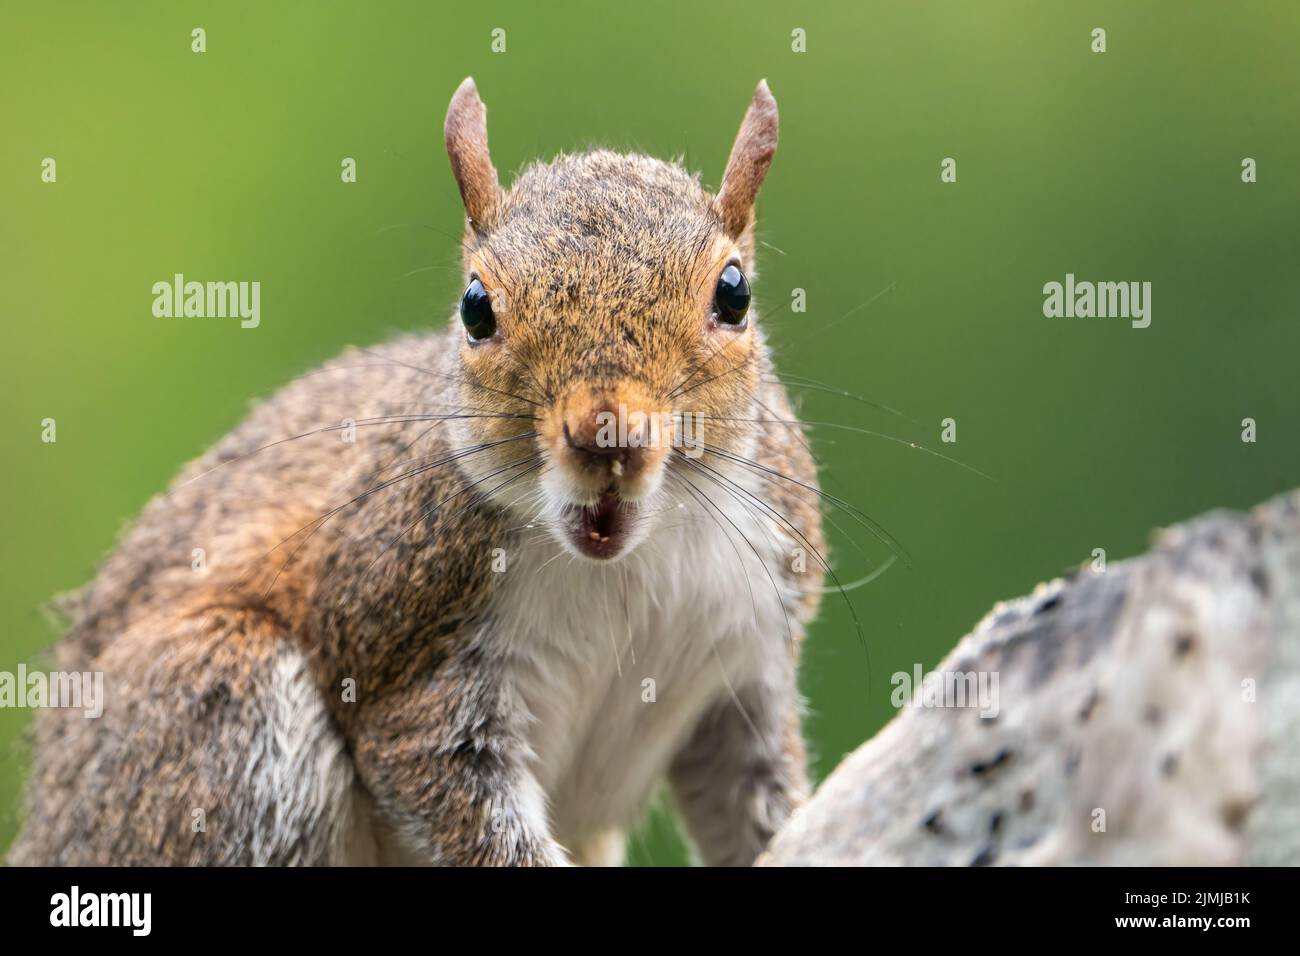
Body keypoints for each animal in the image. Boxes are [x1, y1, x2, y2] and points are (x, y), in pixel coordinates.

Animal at [10, 77, 825, 866]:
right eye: (475, 308)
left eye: (734, 294)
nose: (606, 436)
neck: (629, 564)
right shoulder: (411, 649)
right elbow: (452, 789)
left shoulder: (749, 669)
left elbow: (759, 801)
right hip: (223, 710)